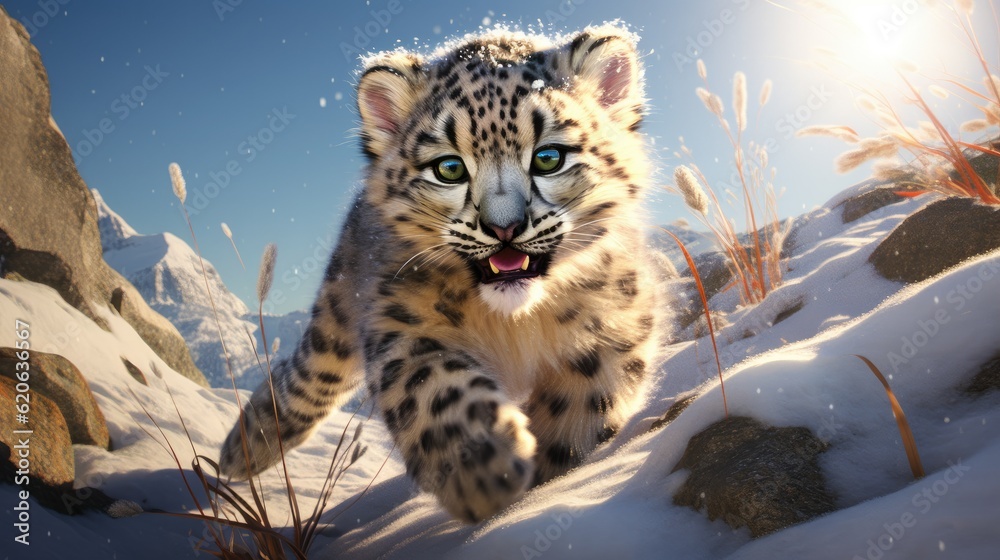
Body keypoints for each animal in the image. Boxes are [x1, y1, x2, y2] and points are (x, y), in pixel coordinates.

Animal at [219, 22, 672, 523]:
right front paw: (482, 466)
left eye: (549, 158)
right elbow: (432, 390)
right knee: (308, 374)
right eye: (449, 168)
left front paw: (539, 474)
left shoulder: (616, 326)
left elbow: (588, 404)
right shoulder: (402, 326)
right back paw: (240, 452)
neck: (516, 323)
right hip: (338, 312)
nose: (504, 227)